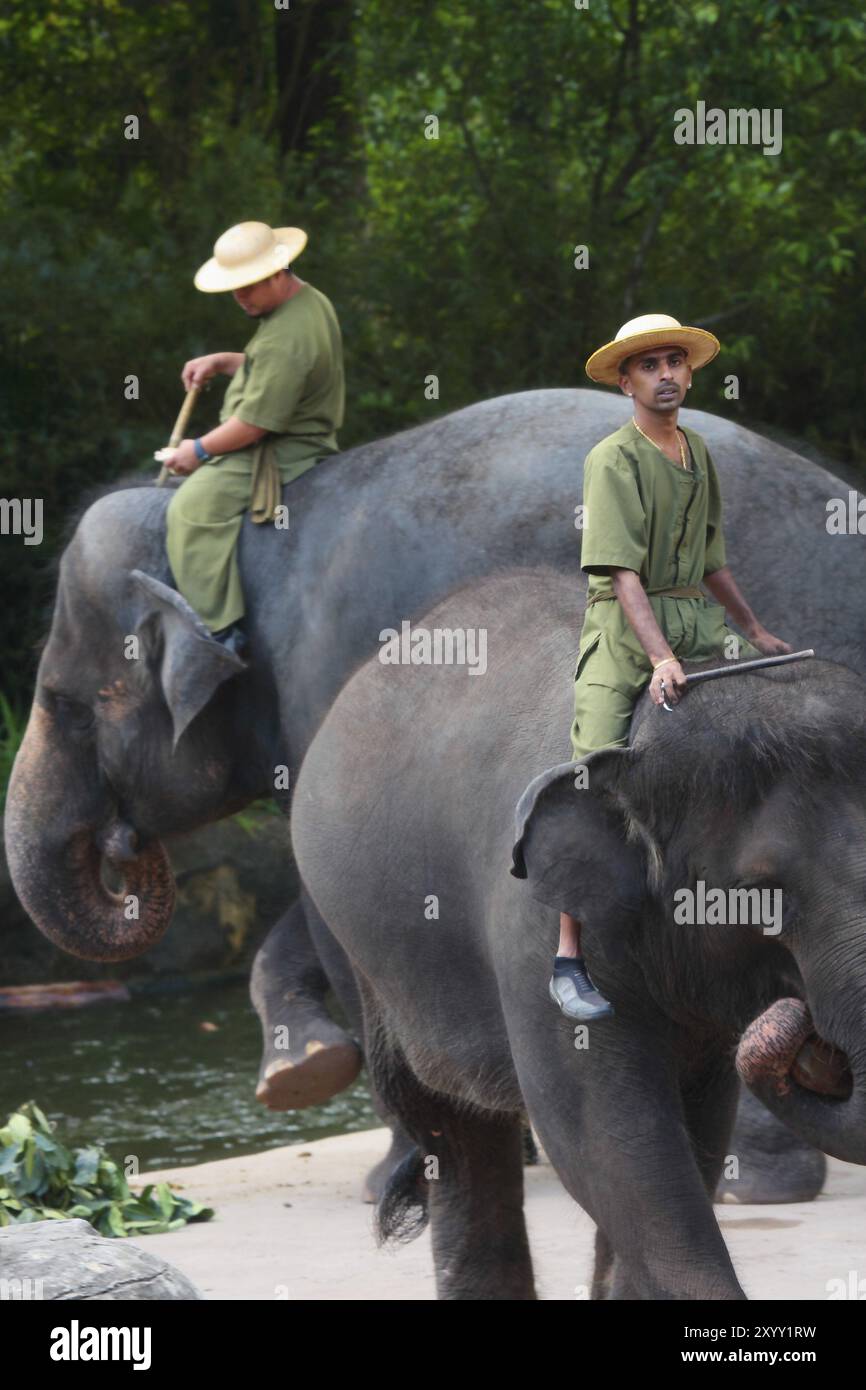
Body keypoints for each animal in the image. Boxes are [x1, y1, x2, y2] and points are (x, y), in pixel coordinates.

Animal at [4, 389, 862, 1200]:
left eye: (66, 705)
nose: (122, 845)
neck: (226, 532)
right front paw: (307, 1073)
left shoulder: (320, 683)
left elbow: (328, 901)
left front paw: (393, 1165)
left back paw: (756, 1180)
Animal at [290, 567, 866, 1299]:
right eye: (759, 893)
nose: (799, 1023)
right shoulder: (535, 930)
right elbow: (609, 1141)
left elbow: (696, 1123)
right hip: (366, 951)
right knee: (450, 1130)